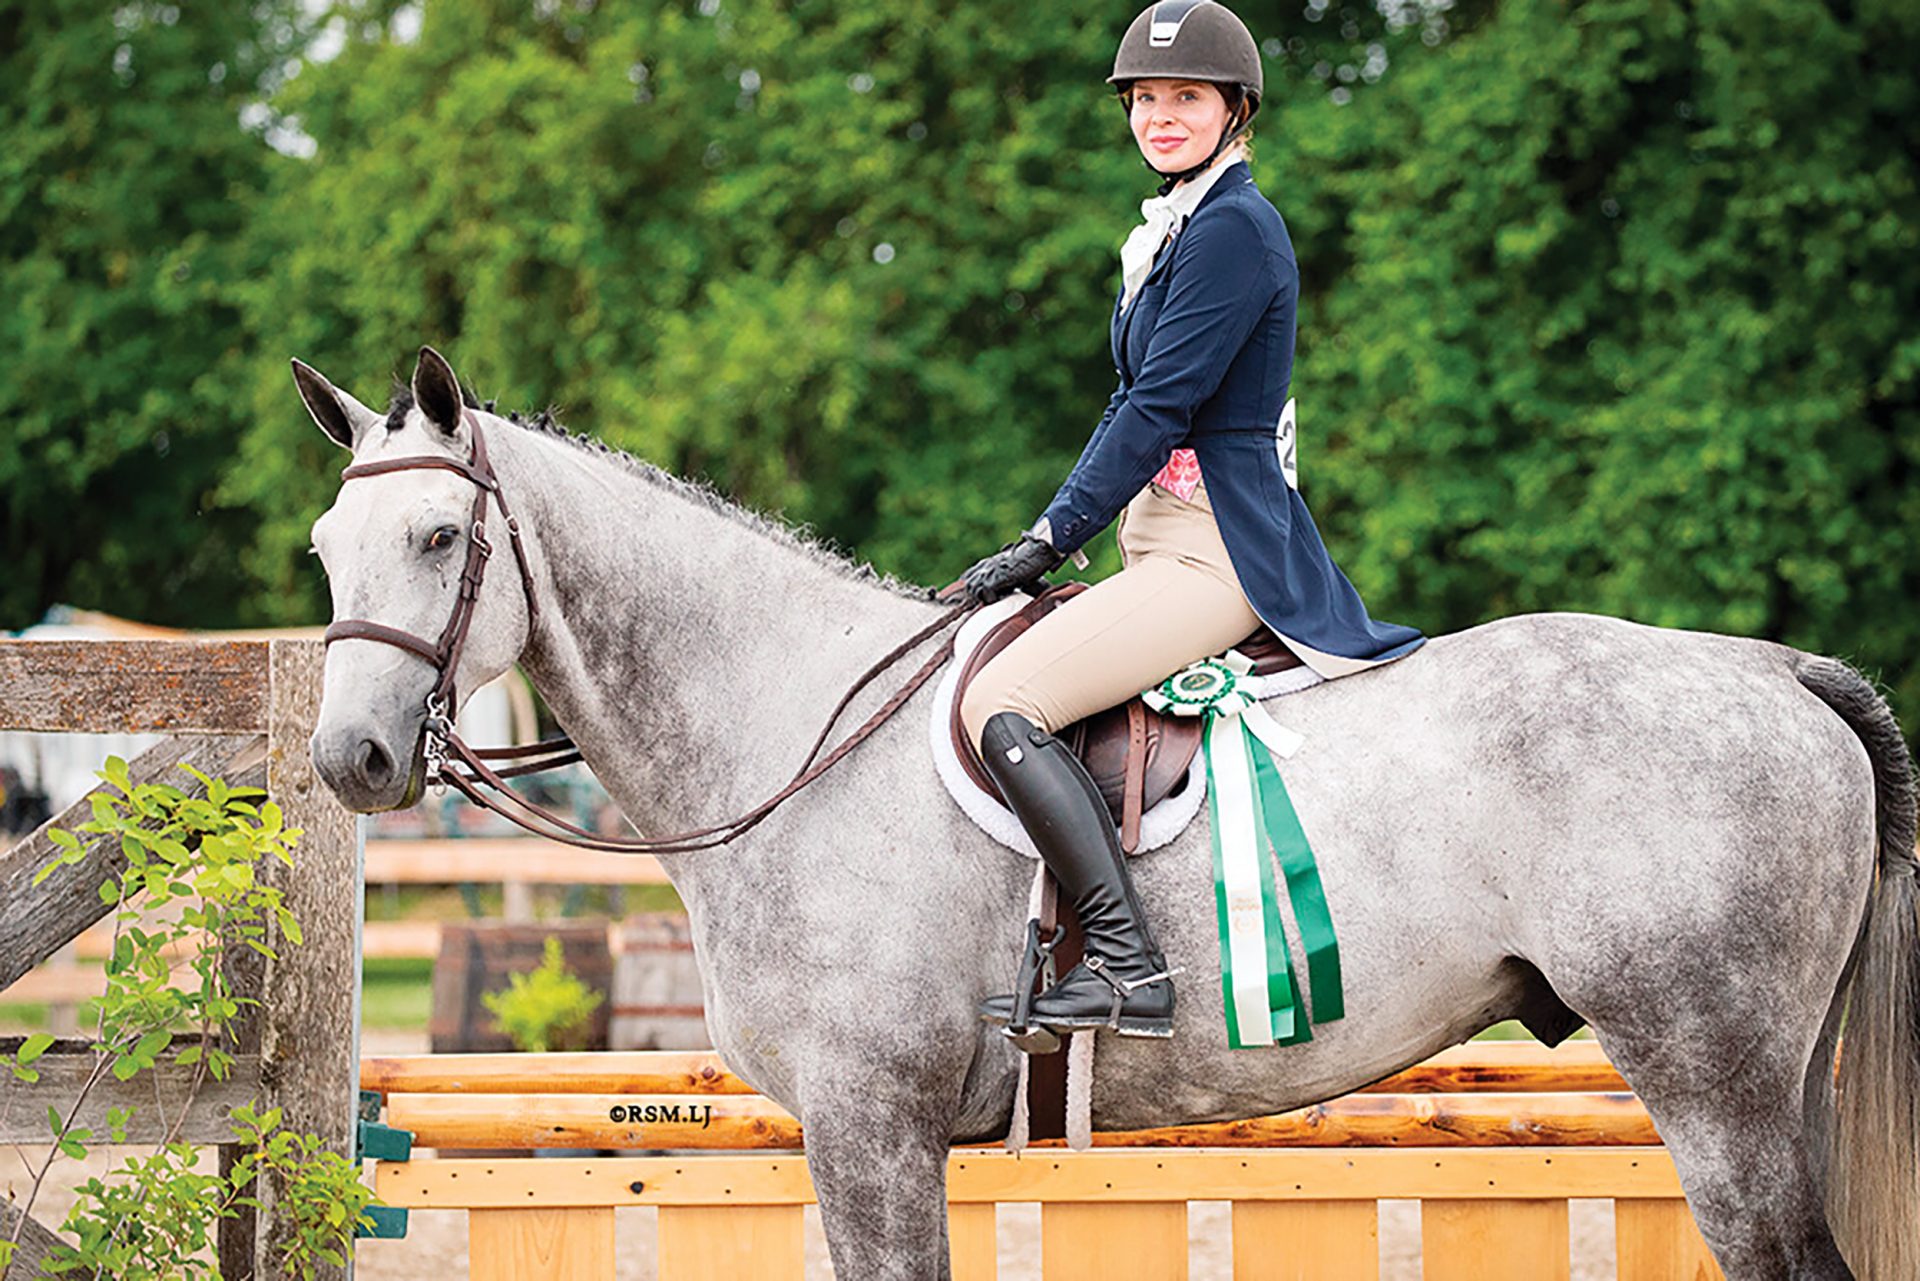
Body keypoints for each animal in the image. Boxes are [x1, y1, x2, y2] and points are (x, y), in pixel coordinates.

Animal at [298, 347, 1916, 1279]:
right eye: (325, 545)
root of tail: (1773, 669)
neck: (788, 724)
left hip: (1710, 1071)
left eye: (438, 535)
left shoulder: (873, 1127)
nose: (352, 762)